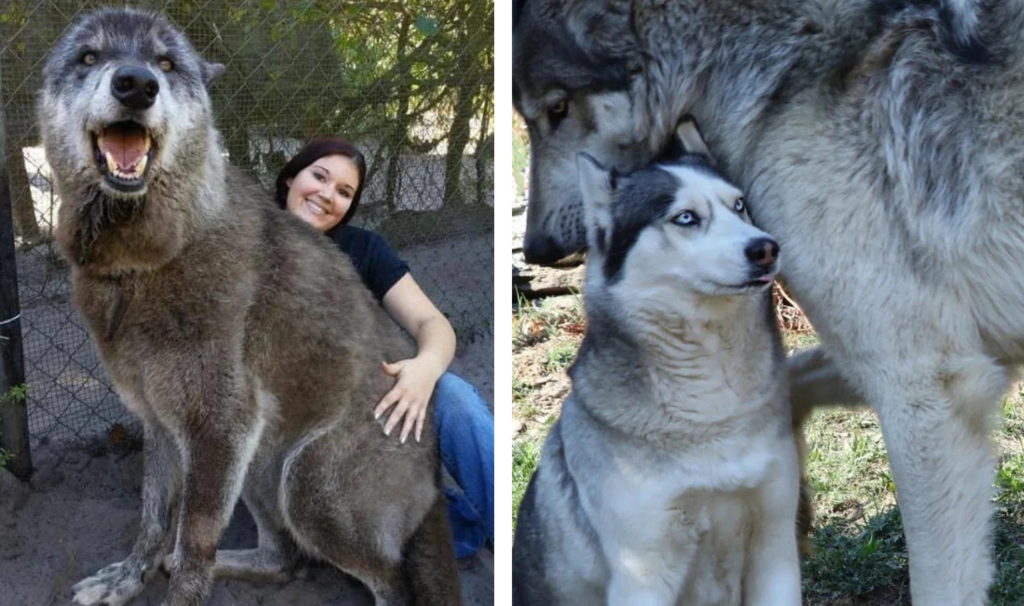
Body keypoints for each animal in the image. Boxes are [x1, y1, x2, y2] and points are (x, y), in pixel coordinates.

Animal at [39, 9, 461, 606]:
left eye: (166, 63)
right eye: (89, 56)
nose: (136, 84)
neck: (146, 262)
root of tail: (434, 473)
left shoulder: (218, 429)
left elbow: (193, 546)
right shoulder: (161, 425)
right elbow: (152, 520)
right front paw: (127, 578)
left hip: (305, 485)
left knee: (390, 581)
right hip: (261, 465)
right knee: (285, 560)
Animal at [512, 121, 801, 606]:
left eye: (739, 206)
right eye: (685, 218)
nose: (766, 248)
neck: (711, 416)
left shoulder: (775, 543)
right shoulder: (642, 574)